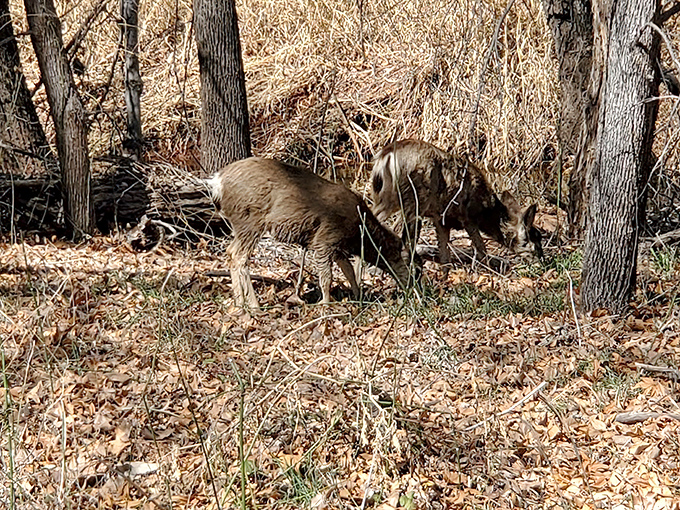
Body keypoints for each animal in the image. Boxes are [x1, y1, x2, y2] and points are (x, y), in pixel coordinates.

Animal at [210, 157, 412, 309]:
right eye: (409, 261)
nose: (412, 284)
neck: (359, 231)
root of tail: (217, 183)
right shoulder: (325, 239)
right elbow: (327, 278)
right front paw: (326, 304)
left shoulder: (337, 246)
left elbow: (348, 271)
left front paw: (359, 297)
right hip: (249, 220)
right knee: (239, 257)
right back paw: (253, 305)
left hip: (241, 224)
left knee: (230, 252)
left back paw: (239, 303)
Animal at [371, 139, 543, 274]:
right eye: (533, 241)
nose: (543, 261)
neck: (486, 211)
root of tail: (385, 156)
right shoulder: (467, 217)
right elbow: (480, 249)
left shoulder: (441, 219)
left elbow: (445, 255)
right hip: (413, 201)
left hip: (387, 198)